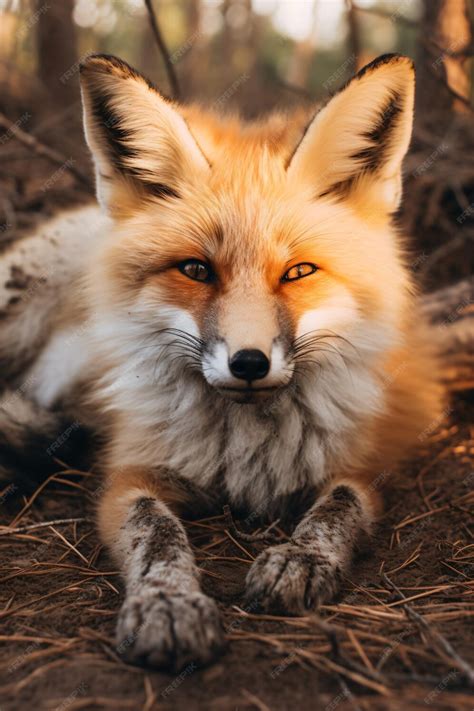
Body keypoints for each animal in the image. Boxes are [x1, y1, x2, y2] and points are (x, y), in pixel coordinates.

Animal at [0, 52, 445, 670]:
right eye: (196, 270)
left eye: (299, 272)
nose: (249, 363)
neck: (245, 453)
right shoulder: (126, 475)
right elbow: (155, 534)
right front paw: (167, 602)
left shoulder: (368, 465)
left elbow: (339, 509)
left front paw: (301, 559)